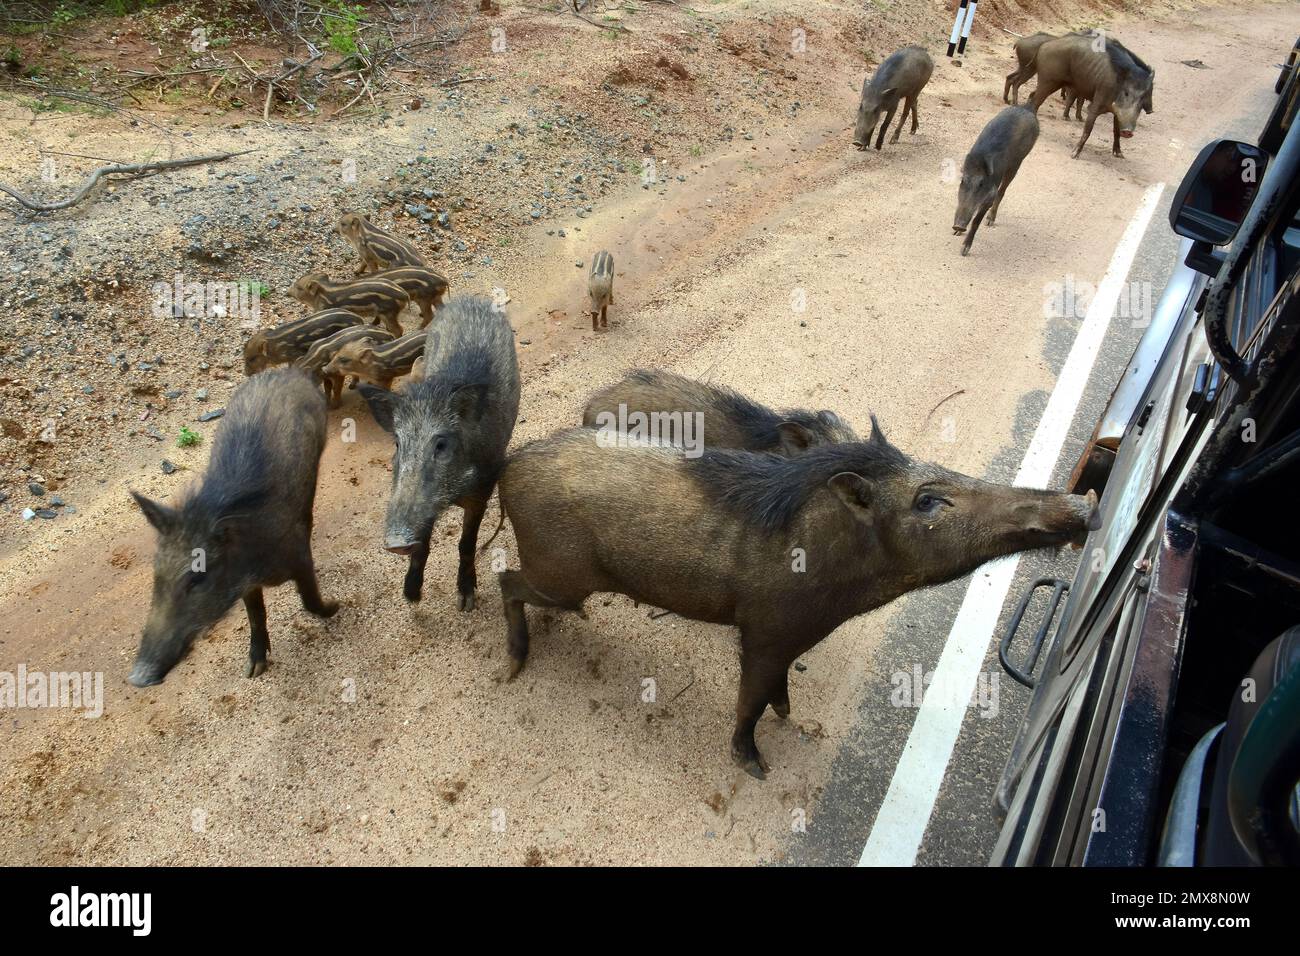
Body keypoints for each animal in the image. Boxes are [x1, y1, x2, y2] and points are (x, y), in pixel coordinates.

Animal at [127, 368, 338, 686]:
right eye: (156, 576)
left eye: (197, 577)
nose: (137, 678)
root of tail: (286, 371)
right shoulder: (247, 585)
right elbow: (256, 614)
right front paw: (254, 670)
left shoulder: (299, 557)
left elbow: (310, 600)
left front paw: (336, 606)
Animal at [360, 295, 520, 608]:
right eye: (397, 443)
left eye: (441, 444)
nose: (396, 543)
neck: (453, 495)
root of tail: (471, 299)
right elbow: (423, 545)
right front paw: (411, 597)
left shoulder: (482, 490)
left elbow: (466, 543)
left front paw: (466, 602)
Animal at [497, 422, 1099, 777]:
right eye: (927, 500)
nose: (1085, 503)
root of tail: (508, 469)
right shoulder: (763, 634)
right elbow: (749, 702)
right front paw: (754, 764)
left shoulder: (788, 639)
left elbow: (776, 692)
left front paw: (792, 718)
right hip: (561, 574)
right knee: (505, 579)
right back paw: (512, 667)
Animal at [953, 107, 1040, 256]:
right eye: (962, 181)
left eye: (981, 184)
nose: (958, 225)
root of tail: (1027, 107)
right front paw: (956, 234)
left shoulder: (989, 197)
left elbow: (976, 221)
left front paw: (964, 250)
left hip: (1017, 162)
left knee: (1002, 191)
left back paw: (989, 222)